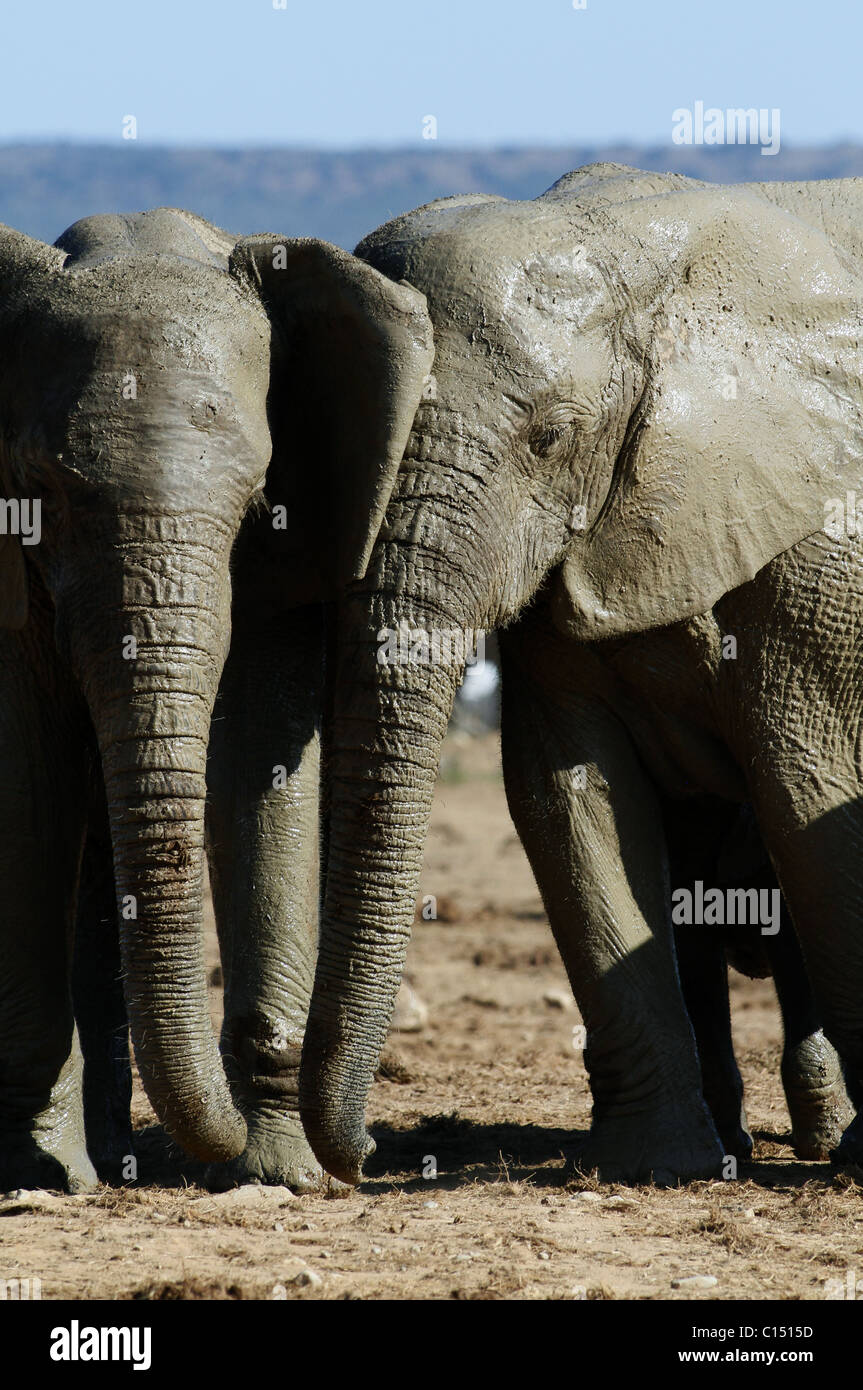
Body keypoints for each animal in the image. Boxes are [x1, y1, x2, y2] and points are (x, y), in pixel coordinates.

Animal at [0, 207, 433, 1192]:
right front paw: (41, 1175)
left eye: (254, 501)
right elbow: (28, 772)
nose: (372, 1157)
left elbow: (261, 761)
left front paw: (277, 1175)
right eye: (43, 492)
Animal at [296, 163, 863, 1186]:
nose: (364, 1156)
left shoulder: (819, 549)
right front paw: (658, 1167)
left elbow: (810, 794)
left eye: (551, 436)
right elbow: (572, 796)